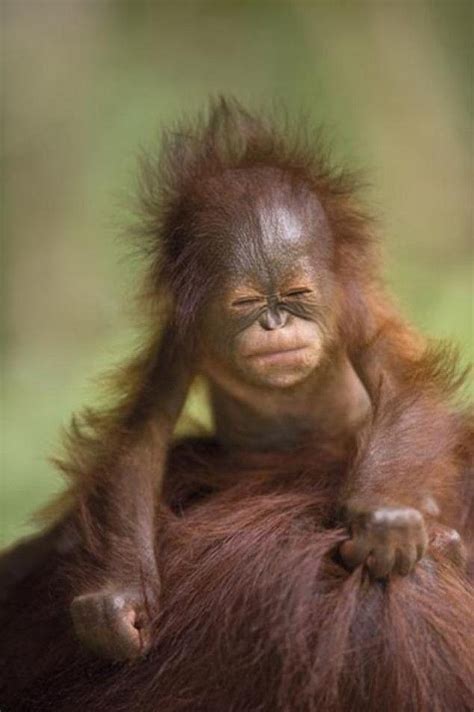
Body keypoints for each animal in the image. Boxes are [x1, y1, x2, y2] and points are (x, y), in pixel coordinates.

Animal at [0, 97, 470, 665]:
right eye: (246, 302)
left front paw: (387, 520)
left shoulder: (352, 307)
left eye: (295, 295)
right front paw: (116, 600)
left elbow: (398, 381)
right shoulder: (180, 339)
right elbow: (145, 429)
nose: (276, 323)